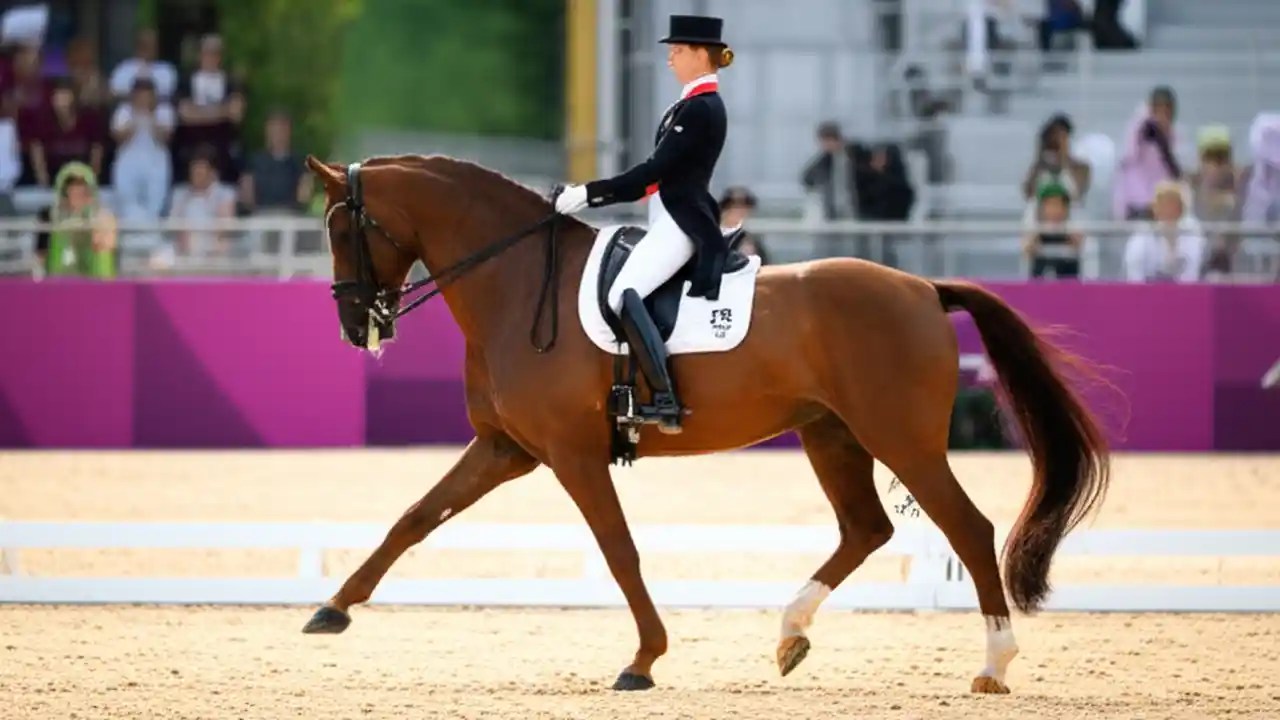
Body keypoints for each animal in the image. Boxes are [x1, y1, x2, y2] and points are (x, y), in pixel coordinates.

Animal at [298, 153, 1111, 695]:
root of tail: (922, 287)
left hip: (900, 439)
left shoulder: (570, 453)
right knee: (866, 529)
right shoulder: (505, 448)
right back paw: (790, 636)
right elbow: (414, 517)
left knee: (966, 528)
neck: (520, 283)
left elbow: (620, 551)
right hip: (832, 435)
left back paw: (993, 665)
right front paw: (331, 610)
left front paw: (643, 660)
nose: (352, 323)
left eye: (344, 228)